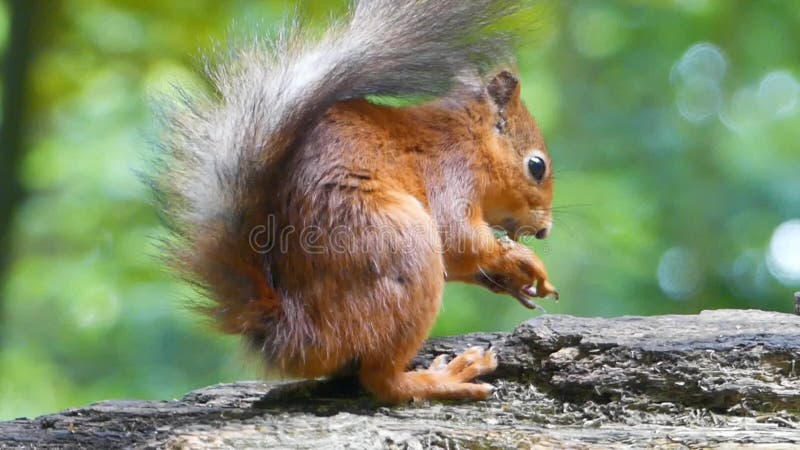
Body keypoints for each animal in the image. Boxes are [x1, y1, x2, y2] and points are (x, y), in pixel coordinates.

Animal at [153, 0, 557, 403]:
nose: (544, 231)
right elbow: (458, 237)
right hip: (404, 247)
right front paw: (520, 259)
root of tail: (299, 334)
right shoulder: (451, 174)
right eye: (536, 166)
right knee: (381, 381)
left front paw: (511, 280)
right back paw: (446, 378)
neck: (469, 140)